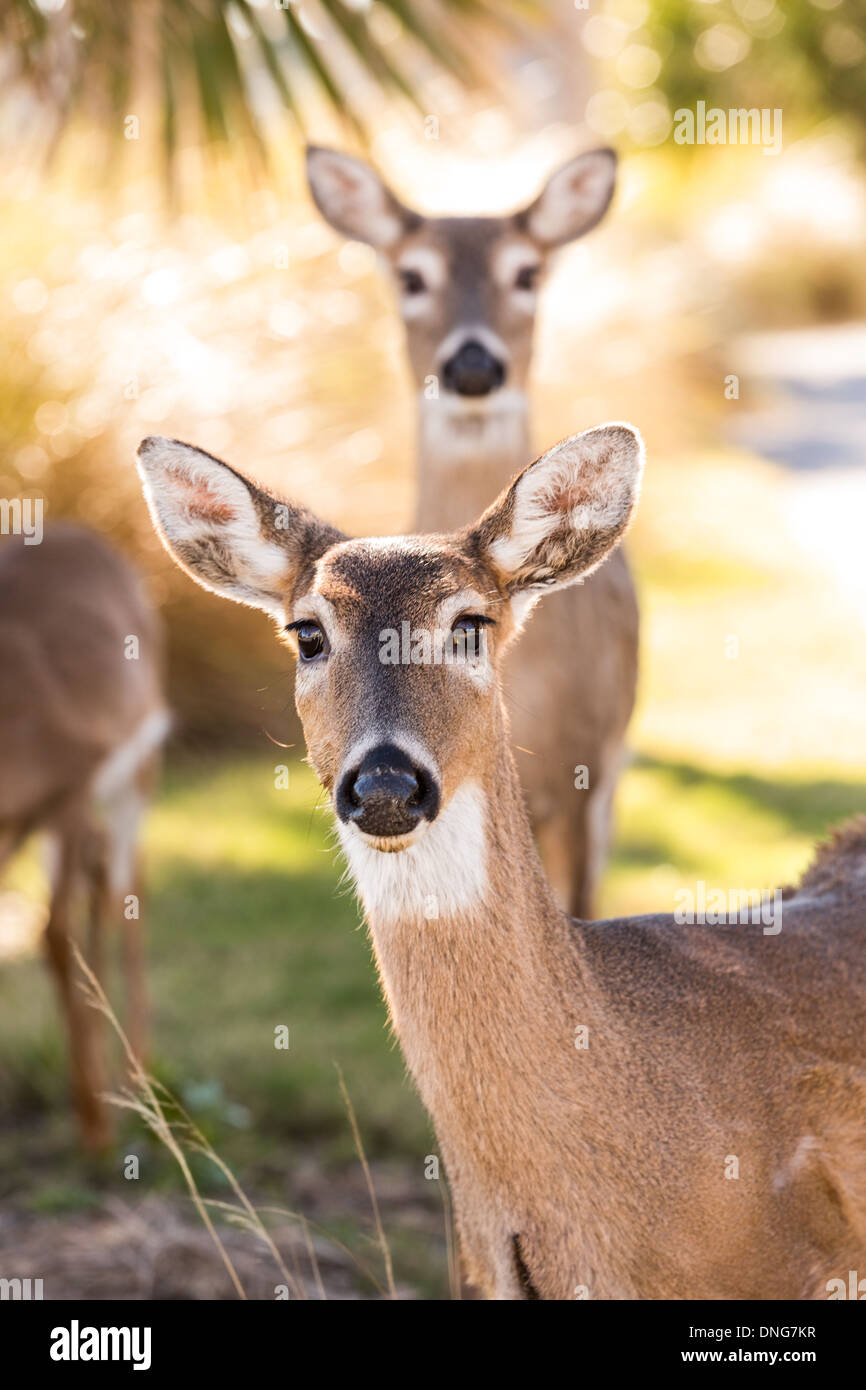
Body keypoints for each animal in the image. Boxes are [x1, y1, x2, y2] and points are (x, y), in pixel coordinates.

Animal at [0, 524, 169, 1150]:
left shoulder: (70, 791)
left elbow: (54, 934)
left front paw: (95, 1127)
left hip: (137, 772)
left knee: (125, 887)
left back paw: (137, 1082)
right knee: (105, 877)